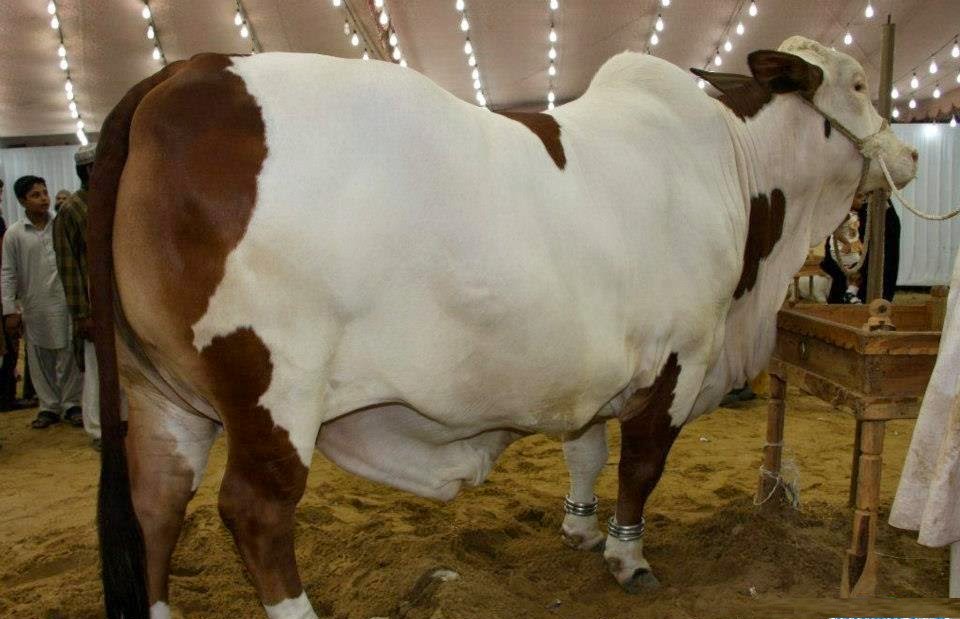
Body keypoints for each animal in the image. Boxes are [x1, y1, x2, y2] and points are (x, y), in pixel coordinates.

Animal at [90, 36, 917, 618]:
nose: (908, 152)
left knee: (158, 500)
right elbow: (640, 466)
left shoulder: (597, 364)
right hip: (275, 384)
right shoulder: (680, 356)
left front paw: (582, 529)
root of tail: (183, 71)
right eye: (858, 83)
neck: (736, 167)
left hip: (157, 393)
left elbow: (586, 450)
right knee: (255, 510)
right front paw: (628, 557)